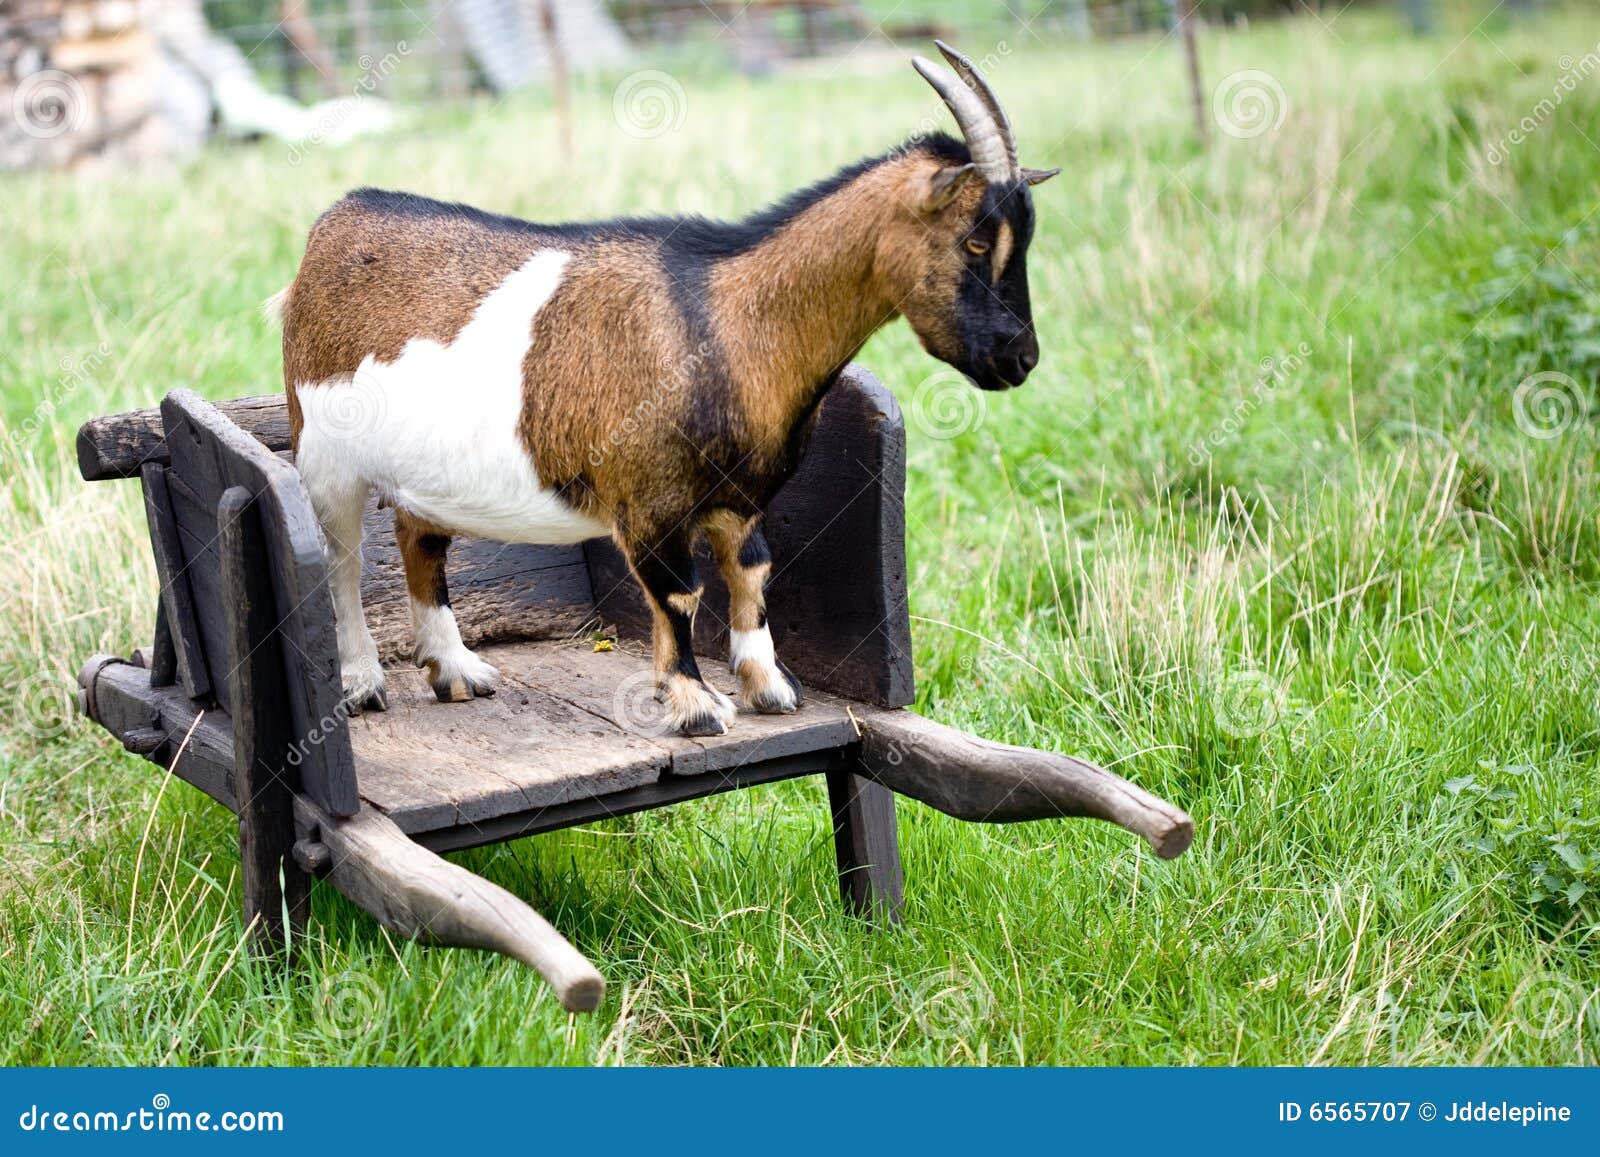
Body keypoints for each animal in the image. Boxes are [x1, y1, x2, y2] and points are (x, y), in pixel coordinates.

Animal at [276, 43, 1057, 737]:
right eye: (977, 241)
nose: (1021, 358)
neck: (725, 321)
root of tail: (333, 223)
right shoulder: (649, 503)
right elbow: (680, 594)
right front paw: (695, 705)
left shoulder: (740, 498)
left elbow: (750, 575)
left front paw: (768, 685)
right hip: (325, 455)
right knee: (341, 559)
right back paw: (361, 683)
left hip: (425, 471)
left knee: (419, 538)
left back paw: (457, 670)